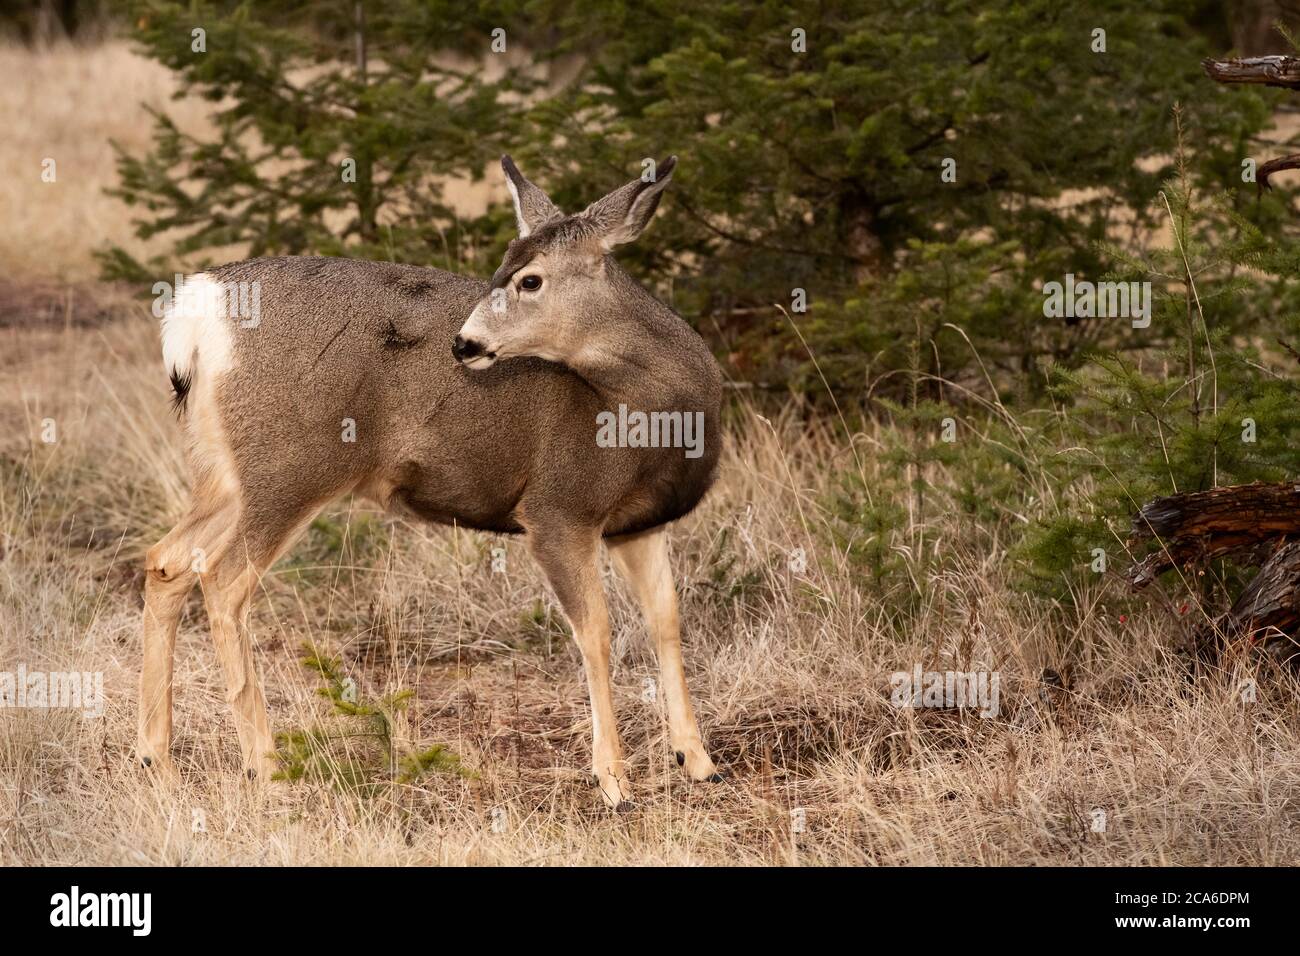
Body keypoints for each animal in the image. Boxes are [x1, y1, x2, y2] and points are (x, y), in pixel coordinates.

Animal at [137, 154, 724, 809]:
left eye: (528, 281)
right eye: (502, 271)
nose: (464, 344)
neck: (648, 412)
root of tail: (197, 312)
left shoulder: (638, 523)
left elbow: (667, 621)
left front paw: (698, 760)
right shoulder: (559, 510)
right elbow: (595, 632)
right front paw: (614, 780)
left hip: (226, 473)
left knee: (167, 561)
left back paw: (157, 759)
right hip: (289, 468)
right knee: (222, 580)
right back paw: (264, 765)